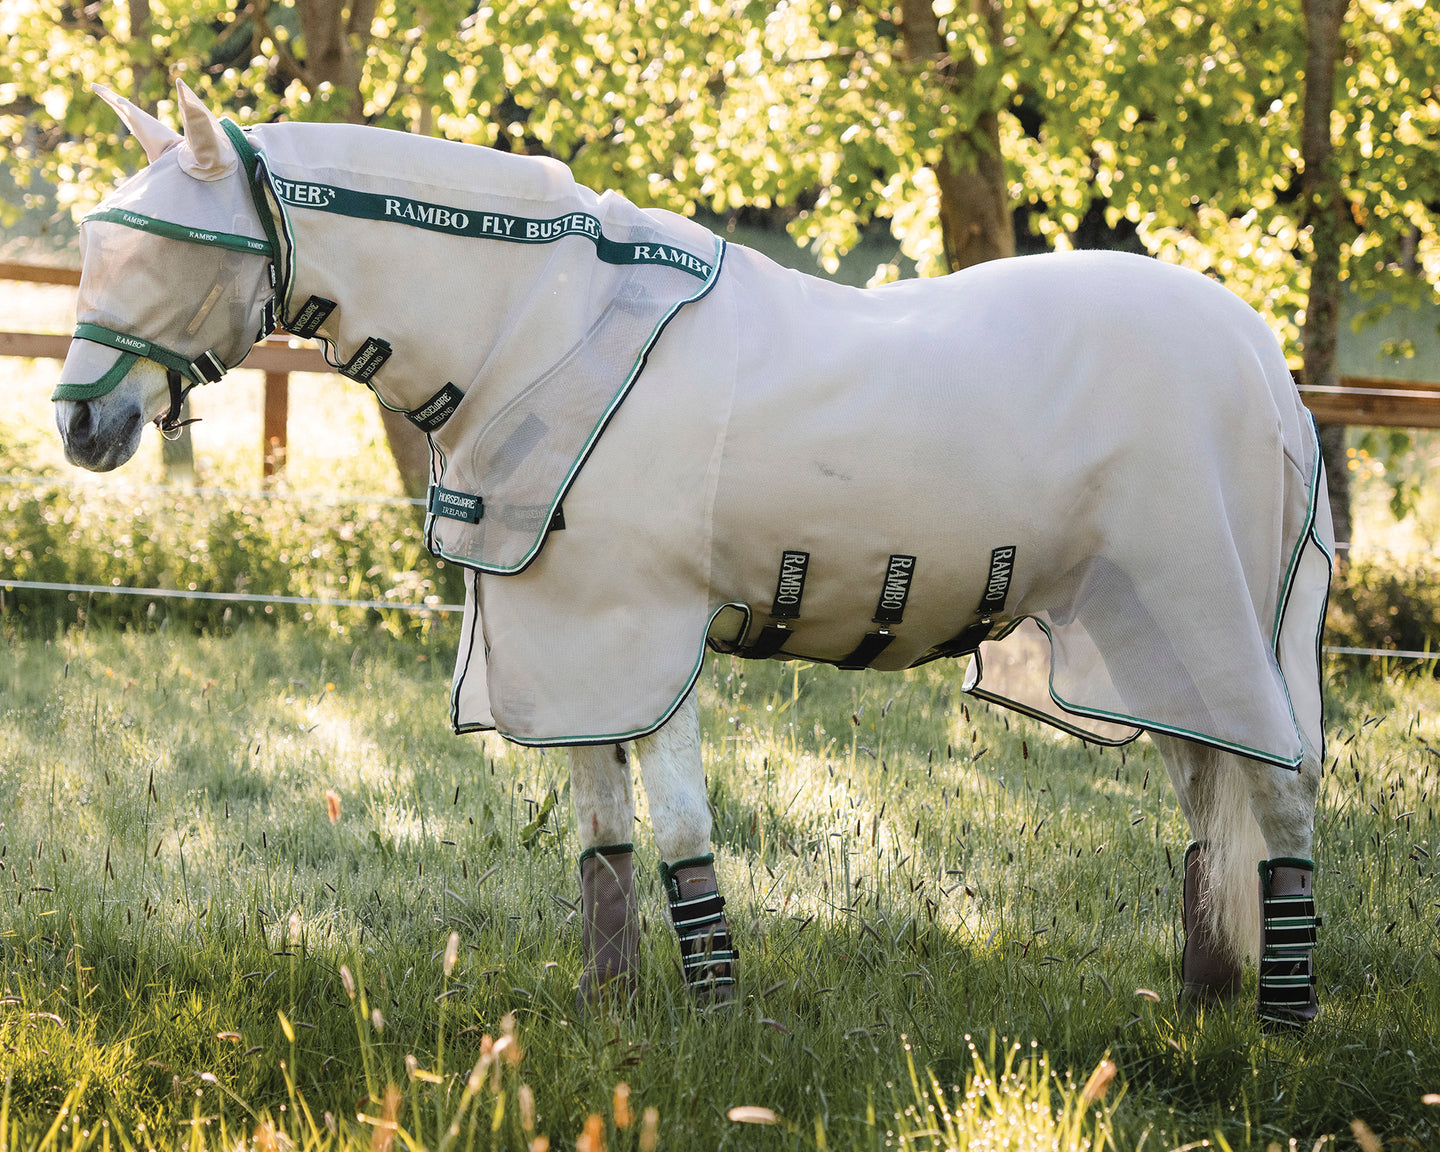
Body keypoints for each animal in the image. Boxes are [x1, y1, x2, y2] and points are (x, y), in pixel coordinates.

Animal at [53, 80, 1332, 1026]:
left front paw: (716, 1014)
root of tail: (1259, 358)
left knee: (1280, 795)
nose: (79, 425)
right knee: (1209, 802)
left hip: (1213, 623)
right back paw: (1206, 993)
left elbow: (678, 827)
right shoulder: (565, 644)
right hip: (1148, 640)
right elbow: (602, 836)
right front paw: (613, 1005)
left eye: (173, 250)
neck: (548, 334)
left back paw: (1282, 1019)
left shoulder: (644, 633)